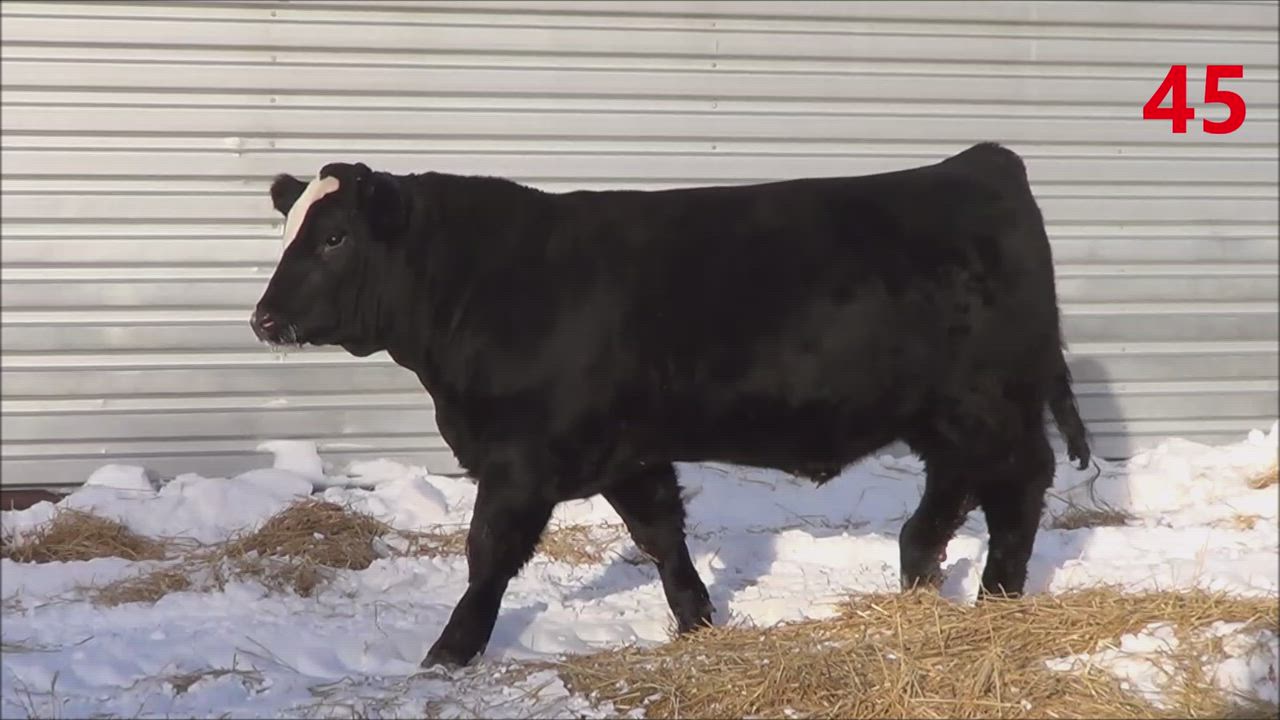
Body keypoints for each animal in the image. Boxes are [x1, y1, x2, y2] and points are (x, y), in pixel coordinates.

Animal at [250, 142, 1091, 669]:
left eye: (334, 238)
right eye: (288, 230)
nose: (263, 319)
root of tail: (982, 162)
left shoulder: (522, 456)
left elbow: (489, 552)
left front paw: (448, 653)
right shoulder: (627, 449)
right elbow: (659, 534)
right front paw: (698, 622)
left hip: (994, 406)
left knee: (1019, 488)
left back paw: (1000, 601)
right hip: (945, 415)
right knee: (951, 492)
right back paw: (918, 579)